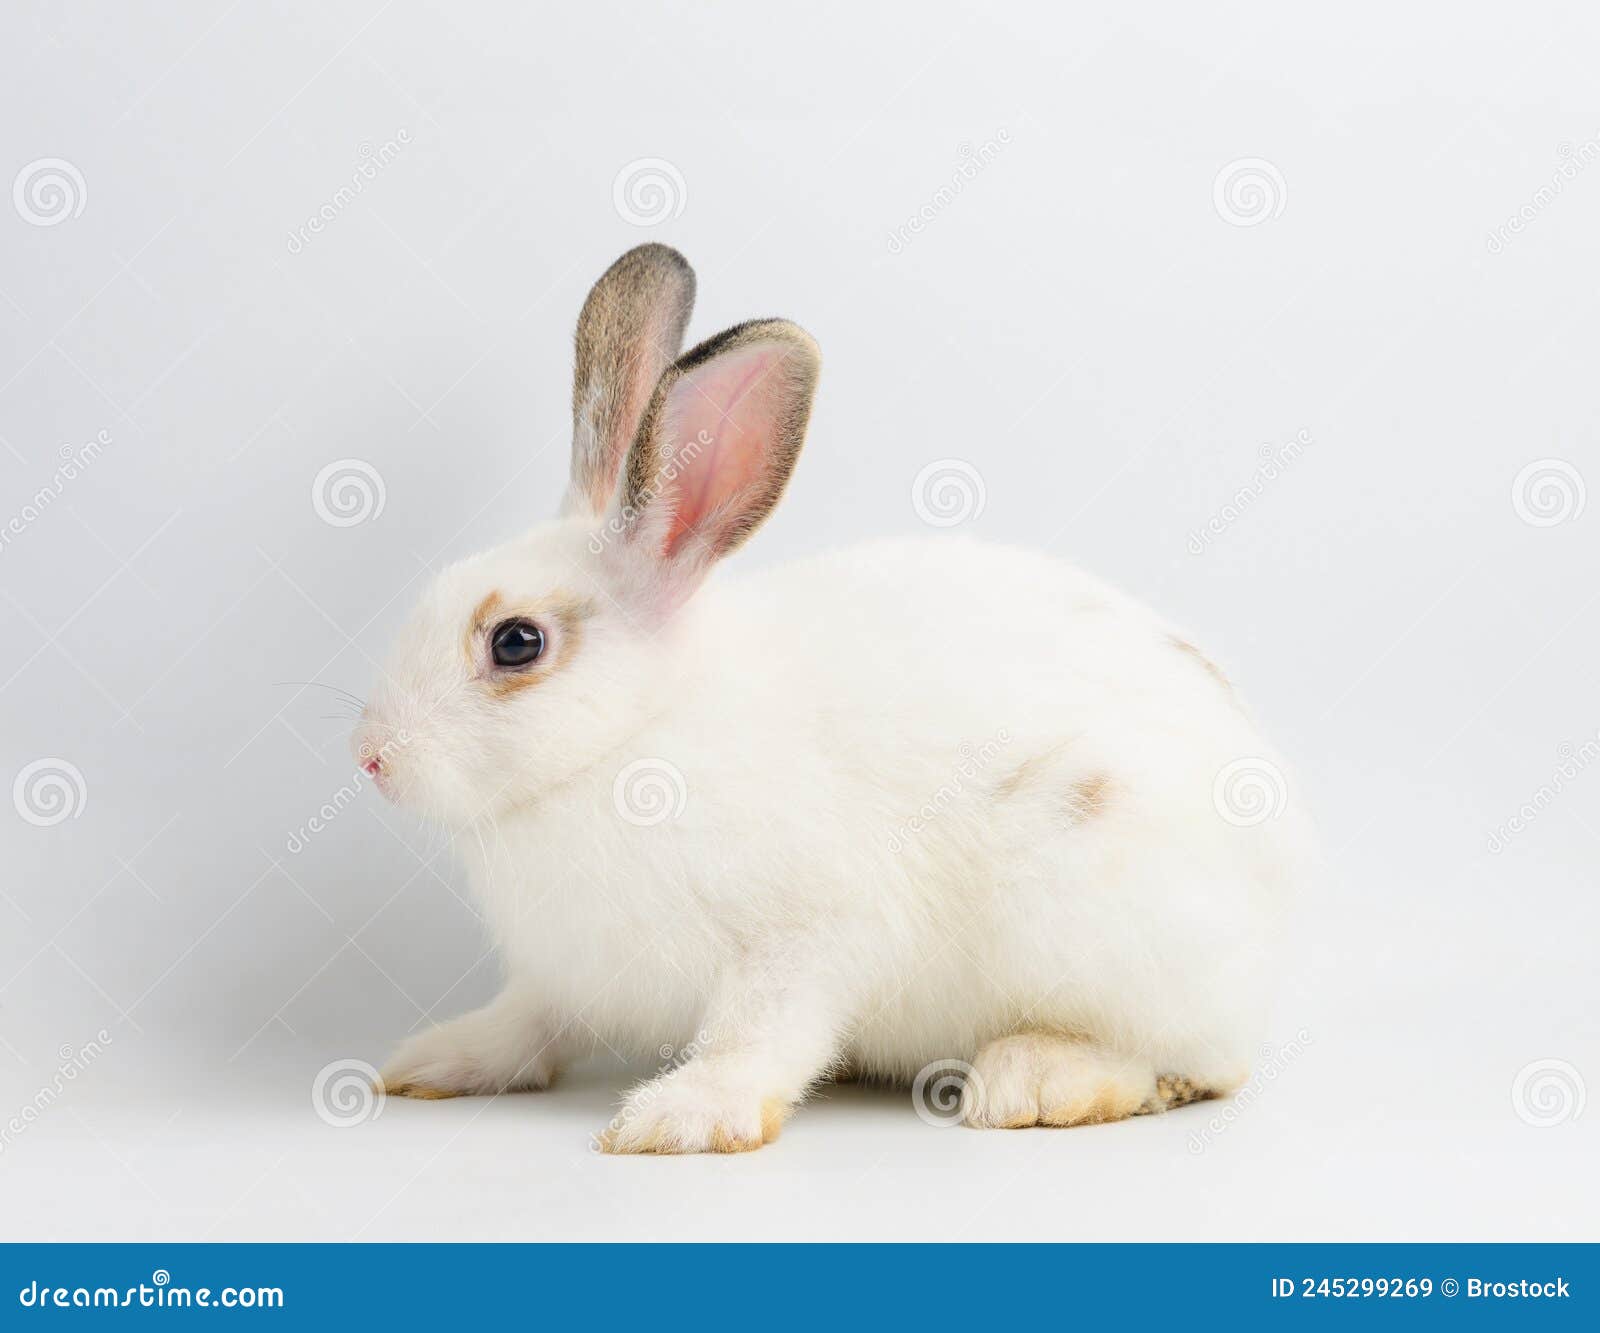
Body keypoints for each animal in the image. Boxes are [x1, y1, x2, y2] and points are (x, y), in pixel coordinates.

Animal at [355, 242, 1311, 1153]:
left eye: (516, 641)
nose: (371, 757)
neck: (631, 738)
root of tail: (1272, 950)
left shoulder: (805, 939)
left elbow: (759, 1034)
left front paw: (683, 1116)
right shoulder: (561, 978)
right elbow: (526, 1025)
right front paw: (436, 1061)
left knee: (1184, 1063)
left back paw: (1037, 1080)